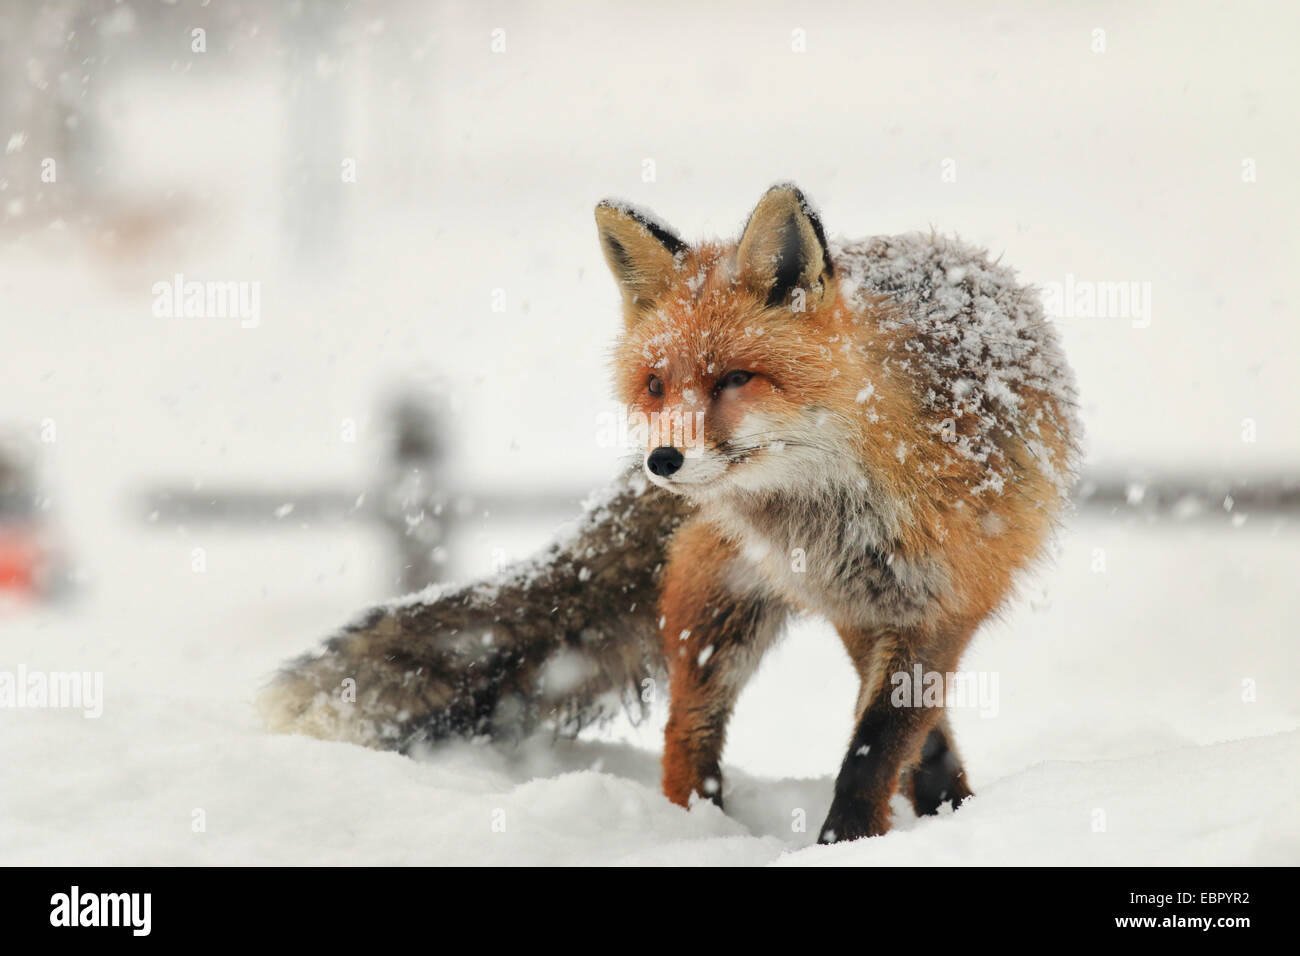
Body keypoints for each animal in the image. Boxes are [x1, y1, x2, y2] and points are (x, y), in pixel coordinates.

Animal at [260, 183, 1080, 844]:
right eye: (656, 384)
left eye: (736, 379)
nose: (662, 461)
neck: (841, 504)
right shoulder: (853, 602)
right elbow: (884, 733)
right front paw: (867, 835)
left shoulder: (932, 601)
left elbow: (881, 740)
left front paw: (867, 832)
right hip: (716, 611)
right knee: (685, 730)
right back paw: (694, 829)